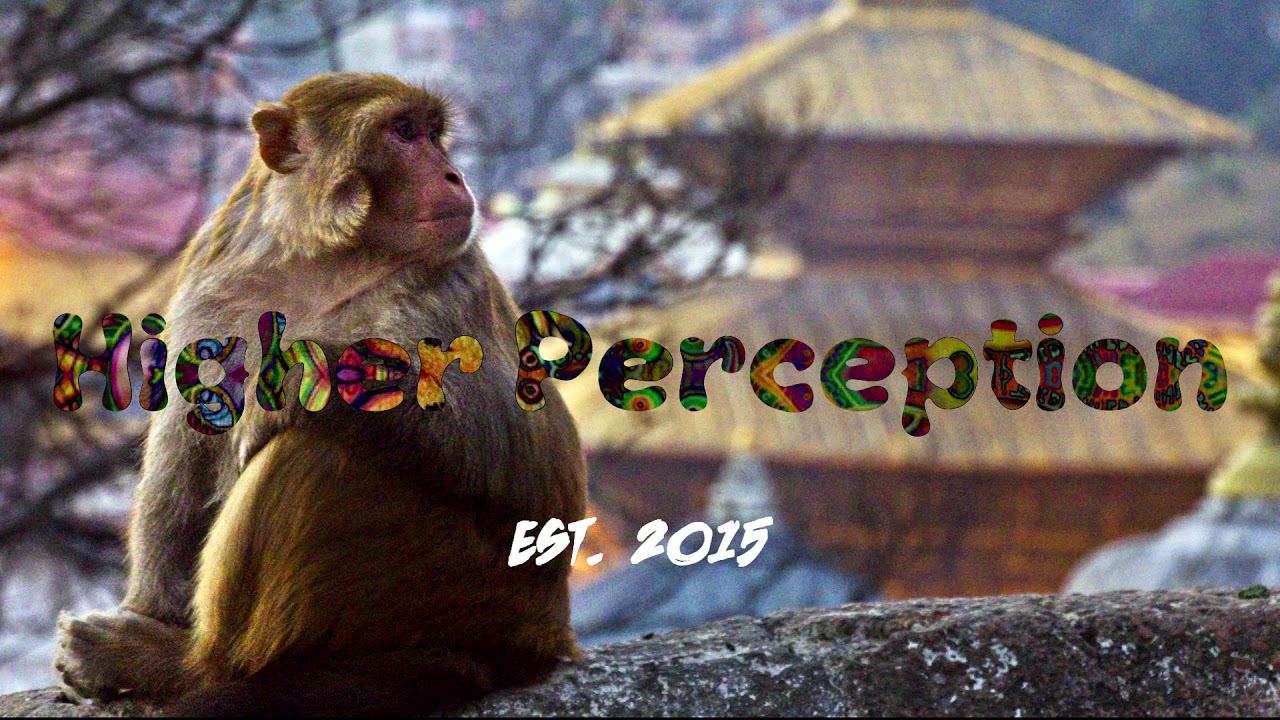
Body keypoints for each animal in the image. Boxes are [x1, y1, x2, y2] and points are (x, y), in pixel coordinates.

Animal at [53, 72, 587, 716]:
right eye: (404, 132)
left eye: (431, 134)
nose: (453, 175)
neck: (326, 258)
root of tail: (541, 631)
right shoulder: (213, 278)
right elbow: (187, 438)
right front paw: (148, 614)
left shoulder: (446, 284)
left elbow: (512, 458)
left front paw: (295, 379)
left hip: (464, 587)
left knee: (310, 454)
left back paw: (191, 668)